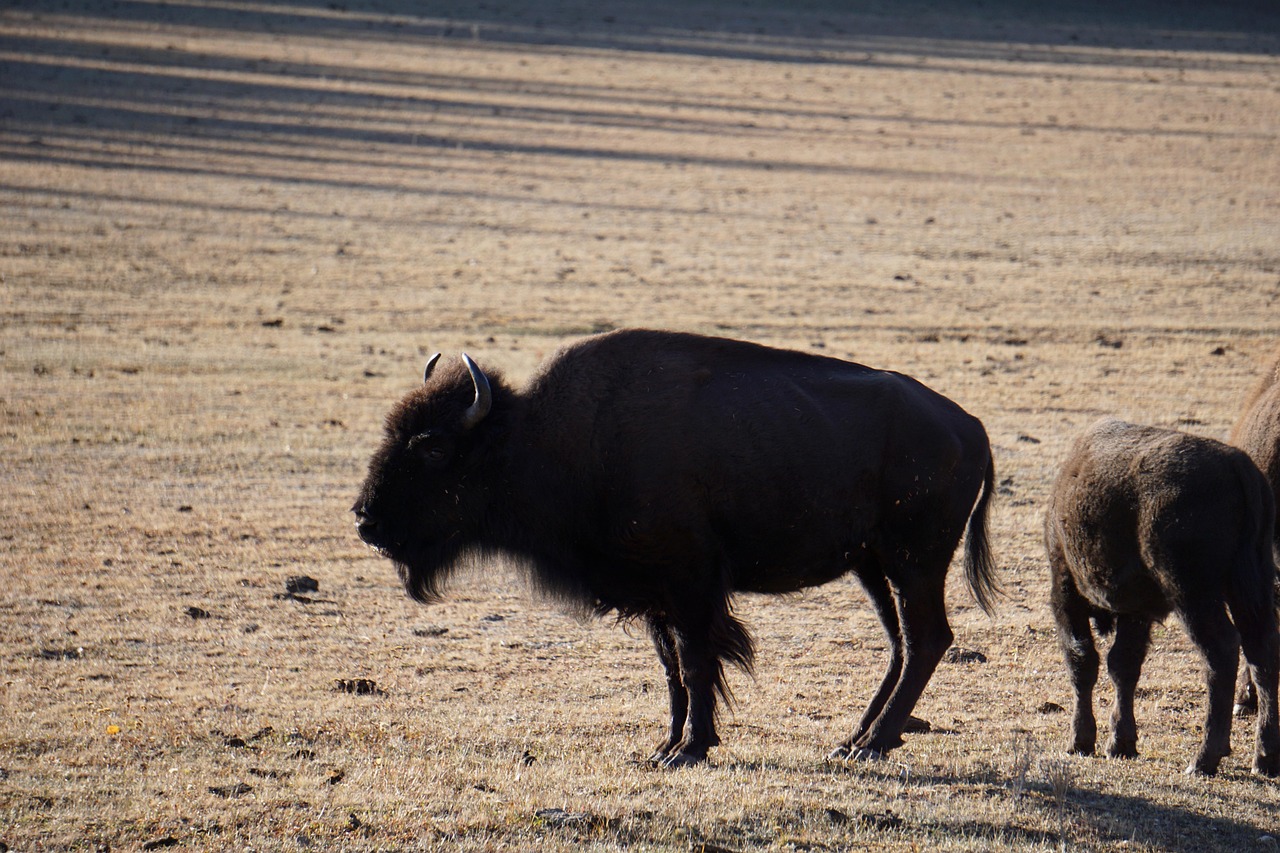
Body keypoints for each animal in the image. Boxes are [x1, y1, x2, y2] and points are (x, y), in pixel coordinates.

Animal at [353, 329, 998, 766]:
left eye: (434, 447)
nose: (365, 520)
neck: (541, 438)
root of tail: (969, 427)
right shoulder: (657, 595)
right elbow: (672, 668)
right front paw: (665, 744)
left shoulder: (689, 585)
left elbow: (695, 661)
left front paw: (688, 750)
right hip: (873, 566)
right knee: (900, 643)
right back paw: (854, 739)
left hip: (914, 561)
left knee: (926, 638)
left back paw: (869, 748)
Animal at [1045, 418, 1279, 776]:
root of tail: (1236, 465)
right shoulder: (1136, 611)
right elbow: (1123, 666)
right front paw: (1121, 743)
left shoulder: (1065, 591)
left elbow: (1083, 660)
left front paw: (1080, 741)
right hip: (1250, 587)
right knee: (1262, 652)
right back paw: (1265, 758)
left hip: (1193, 596)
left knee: (1222, 651)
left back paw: (1203, 759)